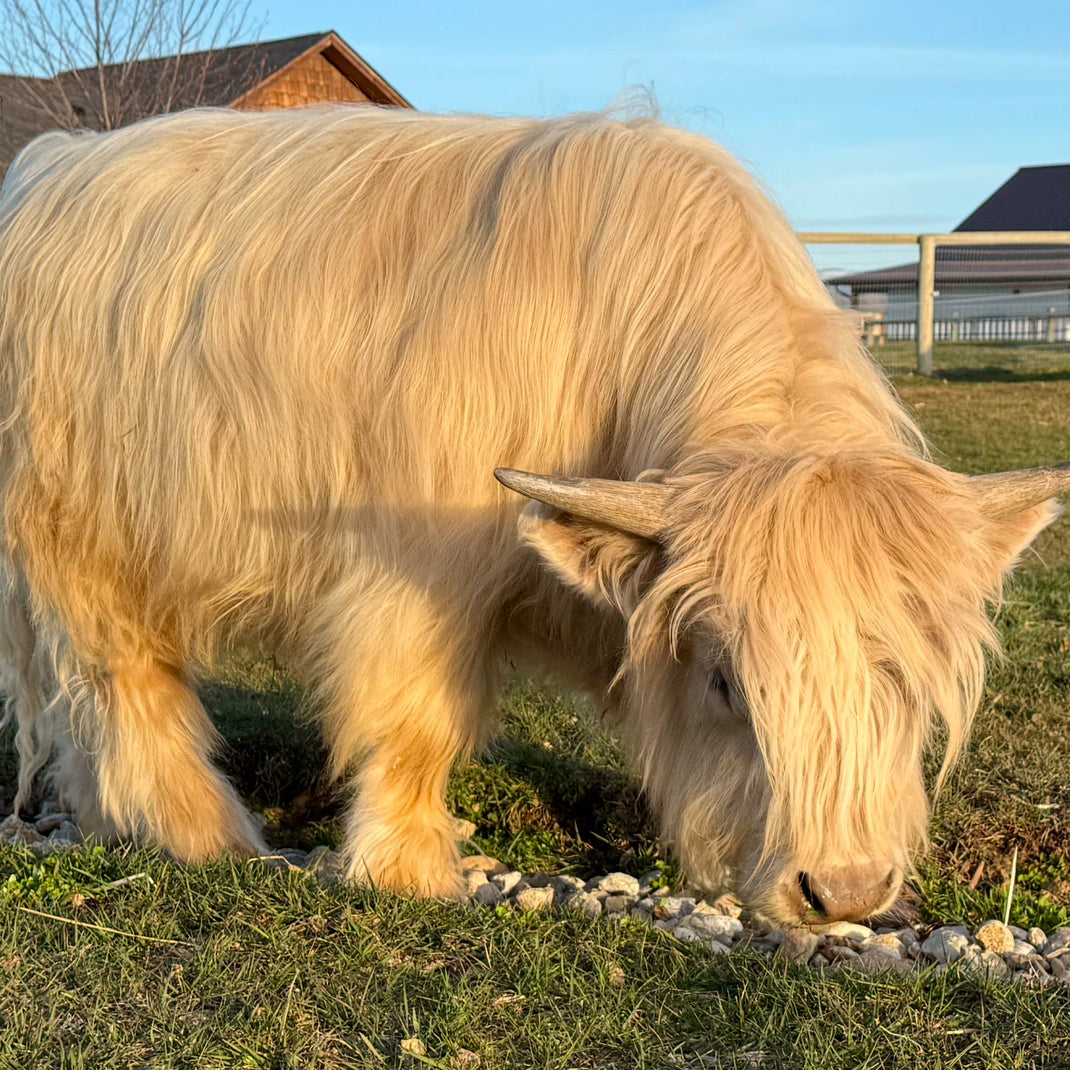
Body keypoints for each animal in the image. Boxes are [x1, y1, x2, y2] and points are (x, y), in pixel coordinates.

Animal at [0, 107, 1065, 925]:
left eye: (905, 679)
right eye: (727, 680)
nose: (842, 891)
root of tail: (47, 165)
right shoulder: (412, 580)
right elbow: (415, 720)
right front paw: (411, 870)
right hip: (83, 537)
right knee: (126, 682)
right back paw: (208, 836)